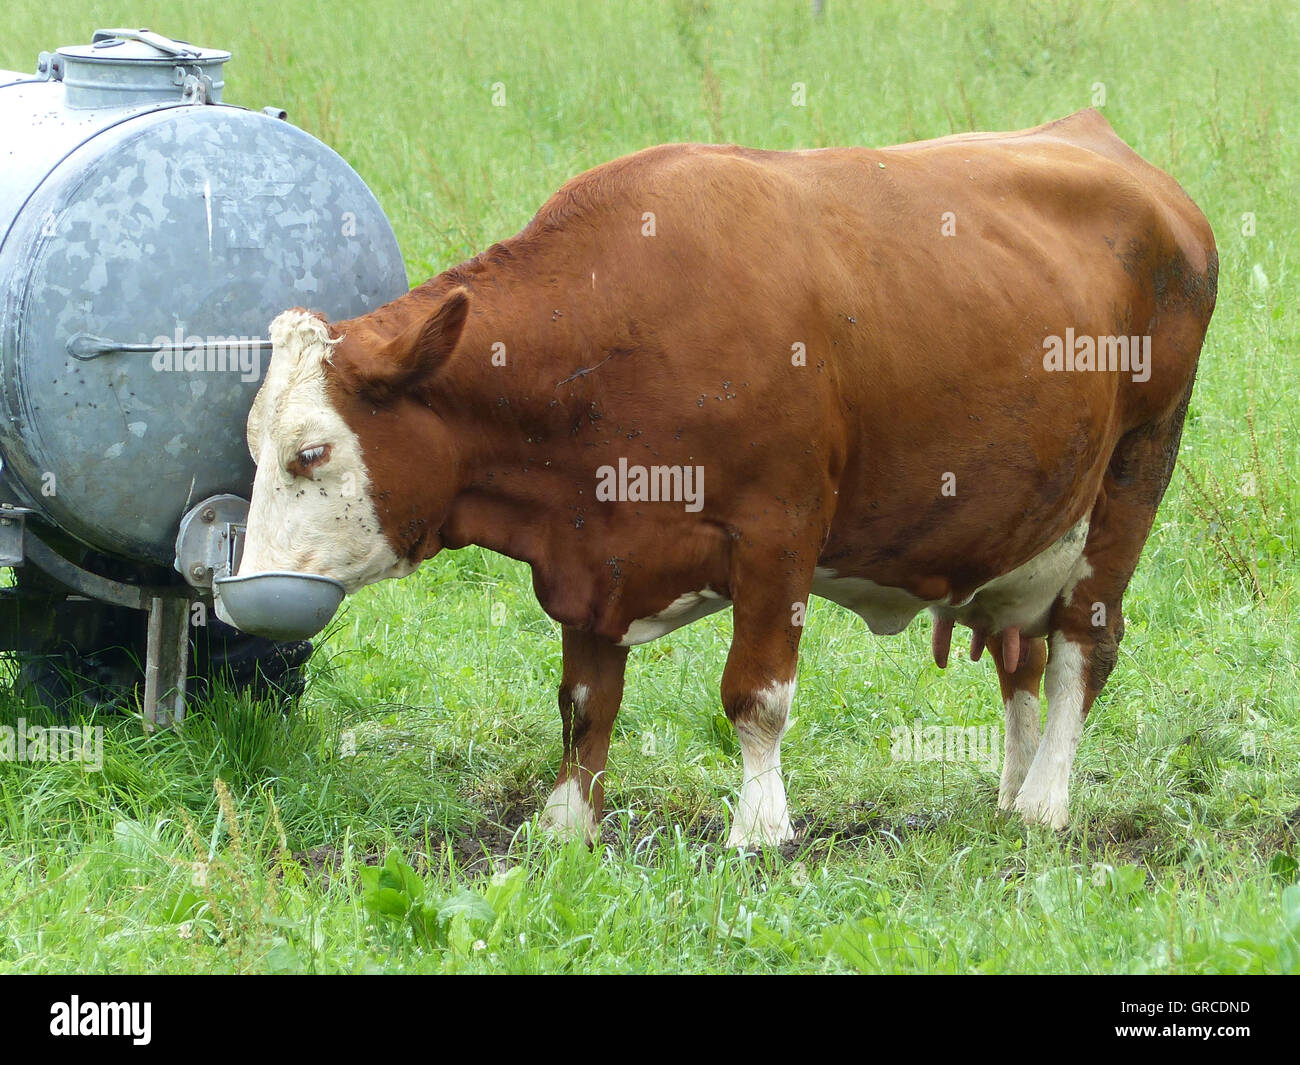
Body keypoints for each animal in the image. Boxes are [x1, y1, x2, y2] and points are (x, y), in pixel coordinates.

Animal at [225, 109, 1217, 847]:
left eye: (309, 452)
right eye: (253, 446)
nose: (246, 591)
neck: (610, 329)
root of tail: (1108, 147)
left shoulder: (780, 529)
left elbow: (756, 696)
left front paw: (759, 828)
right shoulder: (593, 555)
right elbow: (583, 703)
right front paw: (567, 825)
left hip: (1135, 476)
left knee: (1084, 648)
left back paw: (1047, 802)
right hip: (1030, 521)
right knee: (1024, 656)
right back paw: (1011, 794)